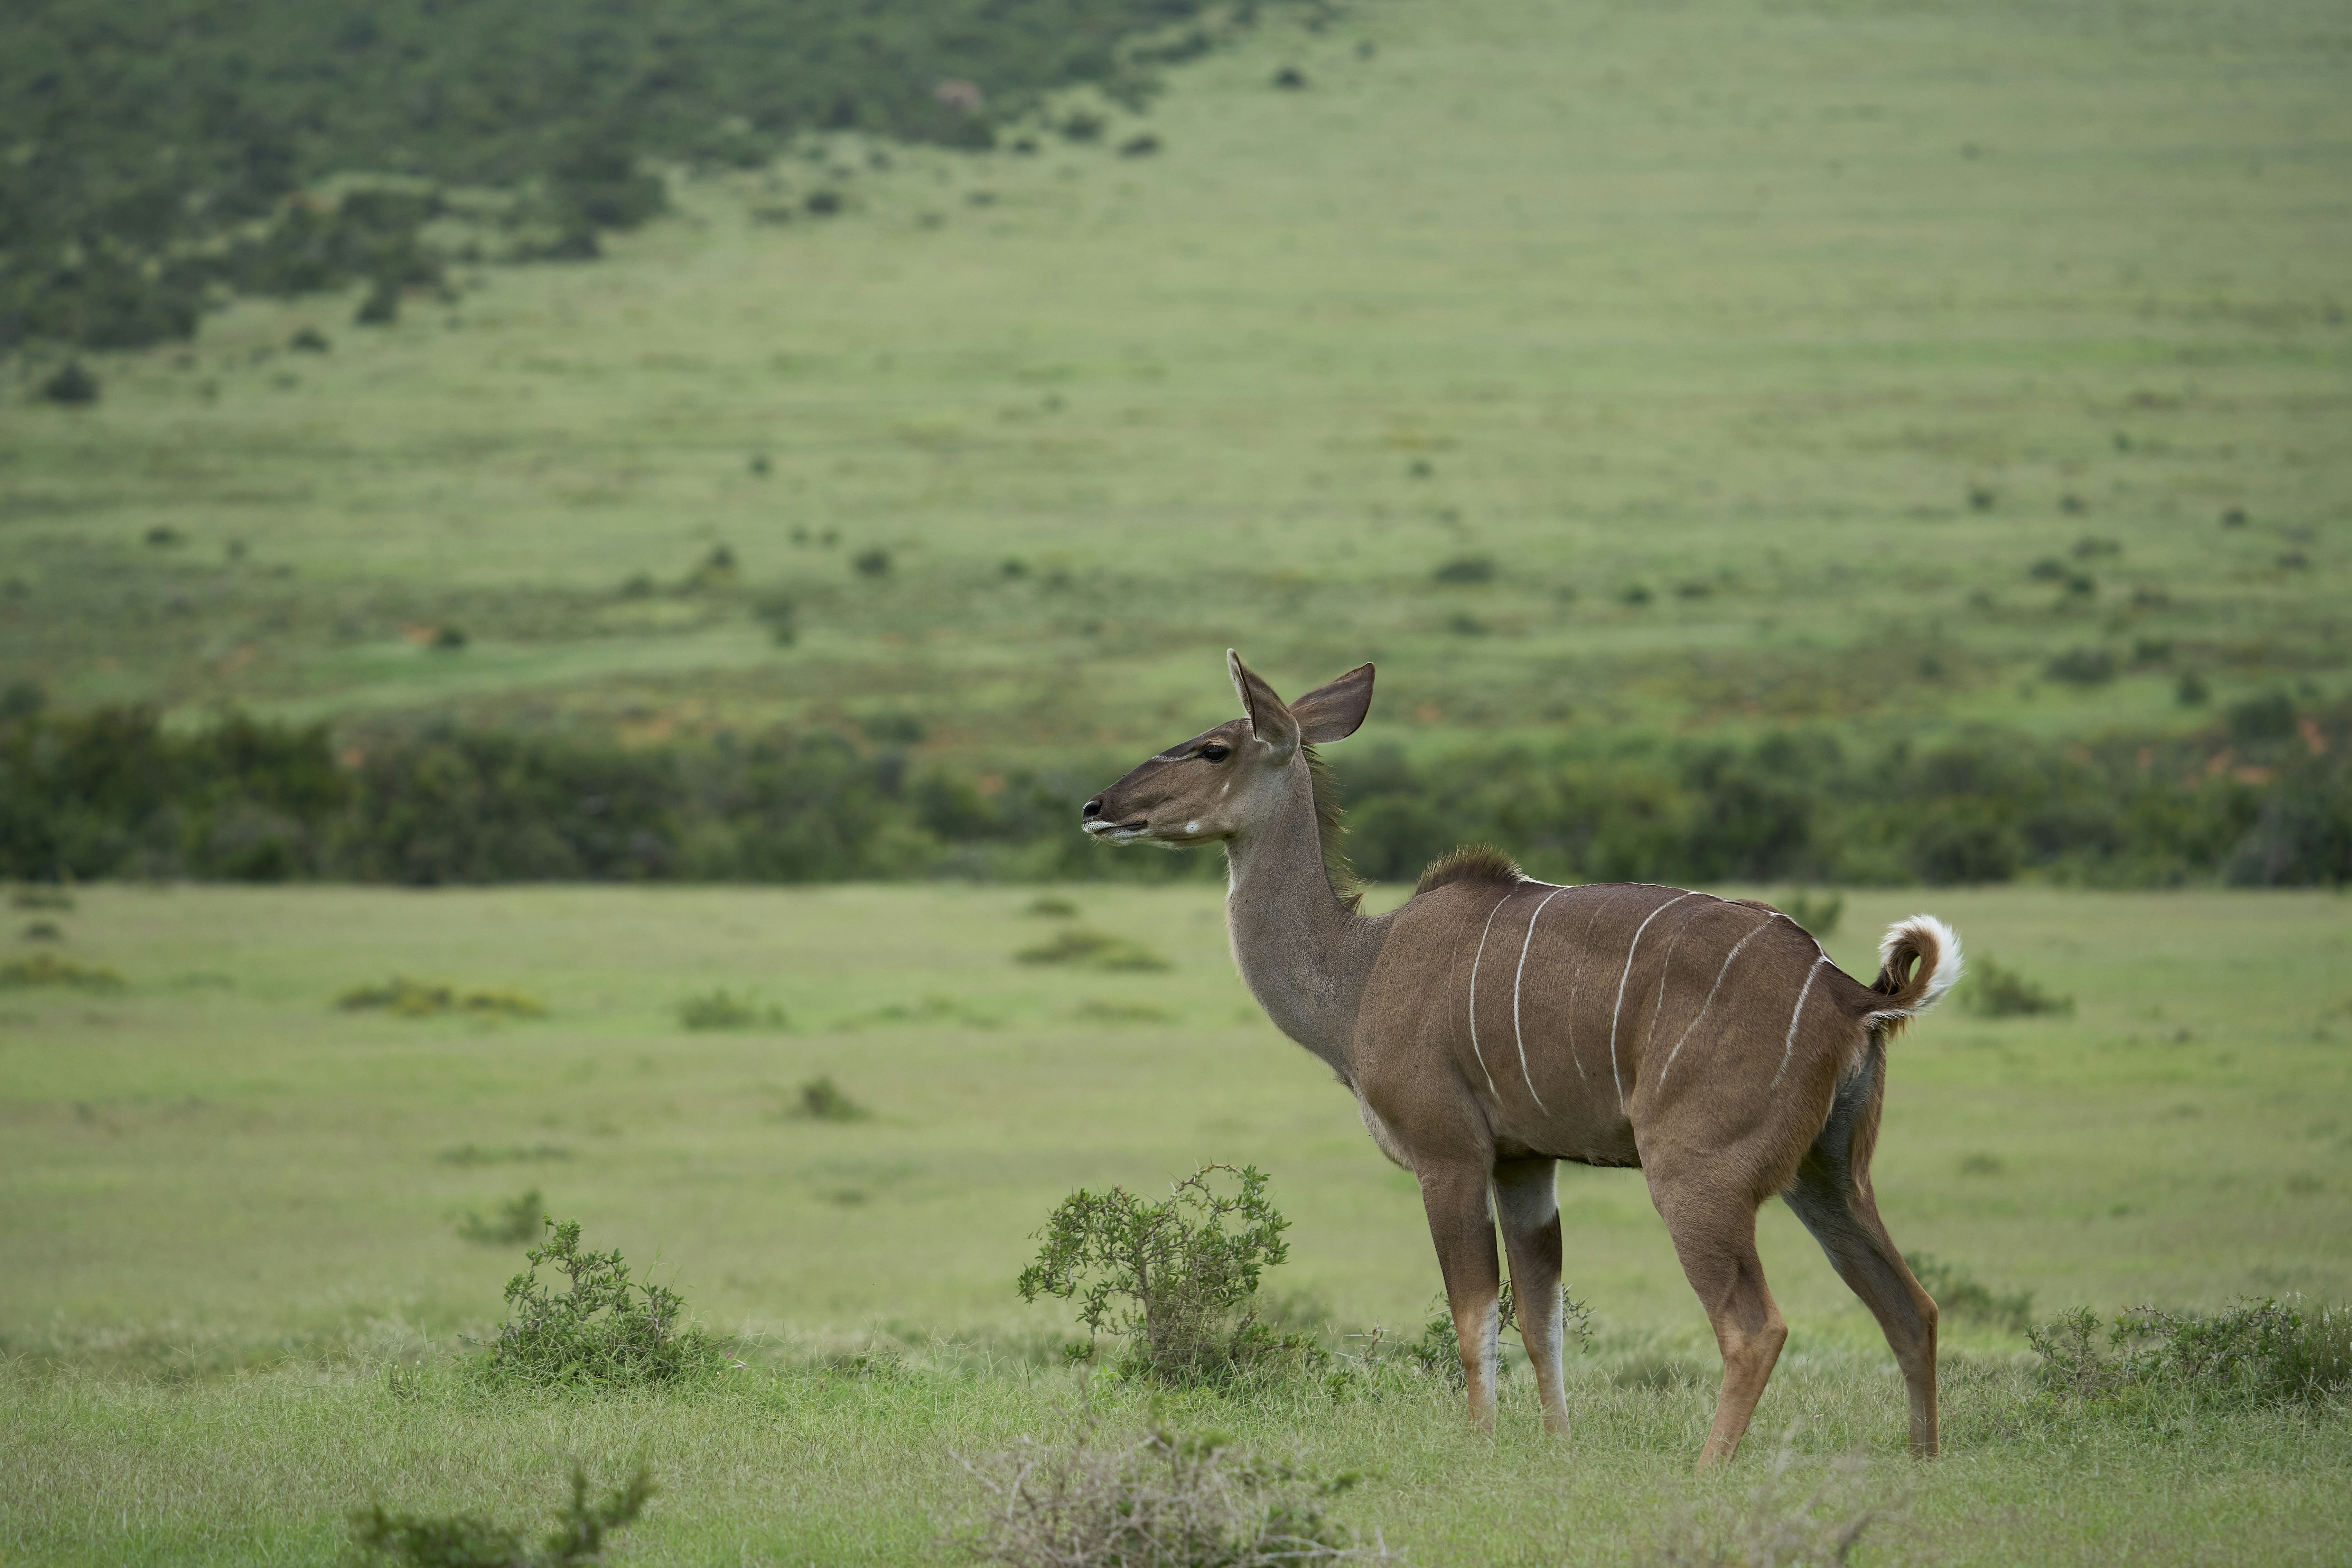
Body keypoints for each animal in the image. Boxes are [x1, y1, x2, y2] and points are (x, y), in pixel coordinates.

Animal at [1080, 653, 1961, 1469]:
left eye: (1213, 748)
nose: (1097, 808)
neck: (1361, 971)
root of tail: (1850, 995)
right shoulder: (1526, 1164)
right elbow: (1543, 1318)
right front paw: (1557, 1448)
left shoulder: (1450, 1157)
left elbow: (1474, 1315)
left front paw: (1480, 1447)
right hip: (1830, 1175)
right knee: (1910, 1308)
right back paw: (1921, 1464)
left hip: (1698, 1175)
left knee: (1756, 1327)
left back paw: (1708, 1470)